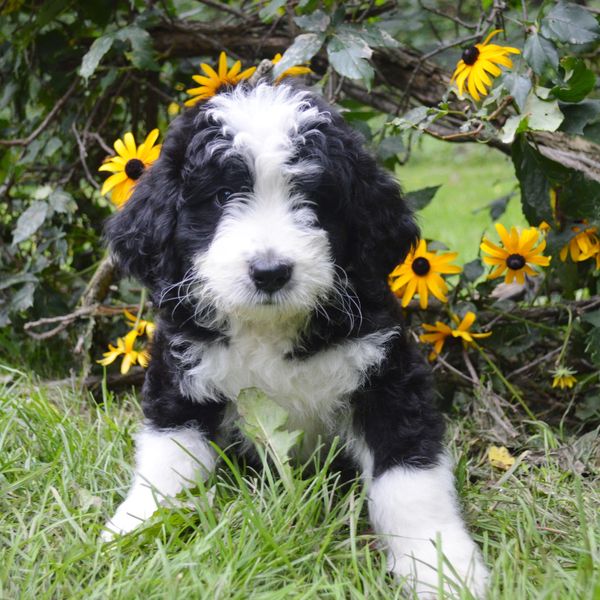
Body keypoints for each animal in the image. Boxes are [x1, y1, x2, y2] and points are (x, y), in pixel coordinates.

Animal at [101, 82, 490, 596]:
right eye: (223, 195)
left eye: (314, 198)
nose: (270, 272)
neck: (269, 326)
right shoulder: (182, 372)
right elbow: (169, 458)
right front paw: (137, 526)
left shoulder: (386, 377)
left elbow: (410, 478)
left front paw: (442, 565)